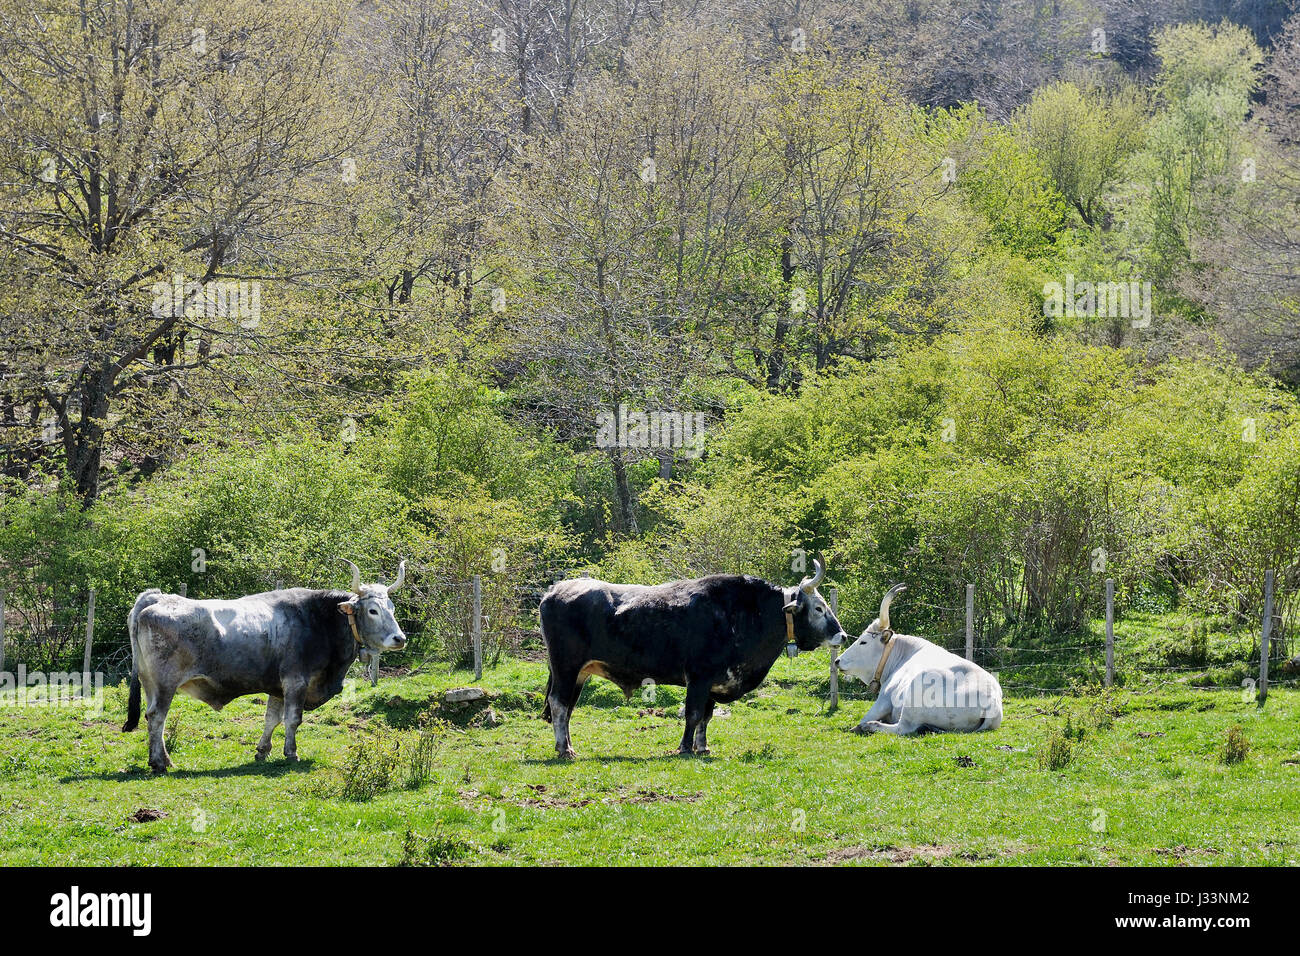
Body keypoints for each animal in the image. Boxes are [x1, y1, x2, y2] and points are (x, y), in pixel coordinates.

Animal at [121, 560, 407, 772]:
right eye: (372, 610)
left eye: (392, 608)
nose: (400, 638)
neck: (318, 620)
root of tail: (157, 598)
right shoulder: (296, 681)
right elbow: (292, 719)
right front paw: (291, 753)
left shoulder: (277, 687)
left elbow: (272, 719)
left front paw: (262, 750)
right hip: (164, 684)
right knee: (157, 717)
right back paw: (159, 763)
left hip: (150, 684)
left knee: (152, 719)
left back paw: (162, 759)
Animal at [539, 557, 848, 759]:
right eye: (819, 608)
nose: (843, 636)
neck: (744, 613)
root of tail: (555, 590)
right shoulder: (699, 678)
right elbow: (693, 714)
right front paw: (686, 747)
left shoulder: (712, 683)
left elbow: (706, 717)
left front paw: (703, 746)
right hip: (566, 668)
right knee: (559, 704)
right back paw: (564, 750)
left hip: (579, 674)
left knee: (568, 708)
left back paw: (566, 745)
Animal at [834, 584, 1003, 735]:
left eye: (863, 642)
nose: (837, 661)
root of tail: (992, 700)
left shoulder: (884, 698)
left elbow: (866, 715)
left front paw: (859, 726)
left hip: (912, 699)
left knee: (902, 728)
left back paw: (870, 726)